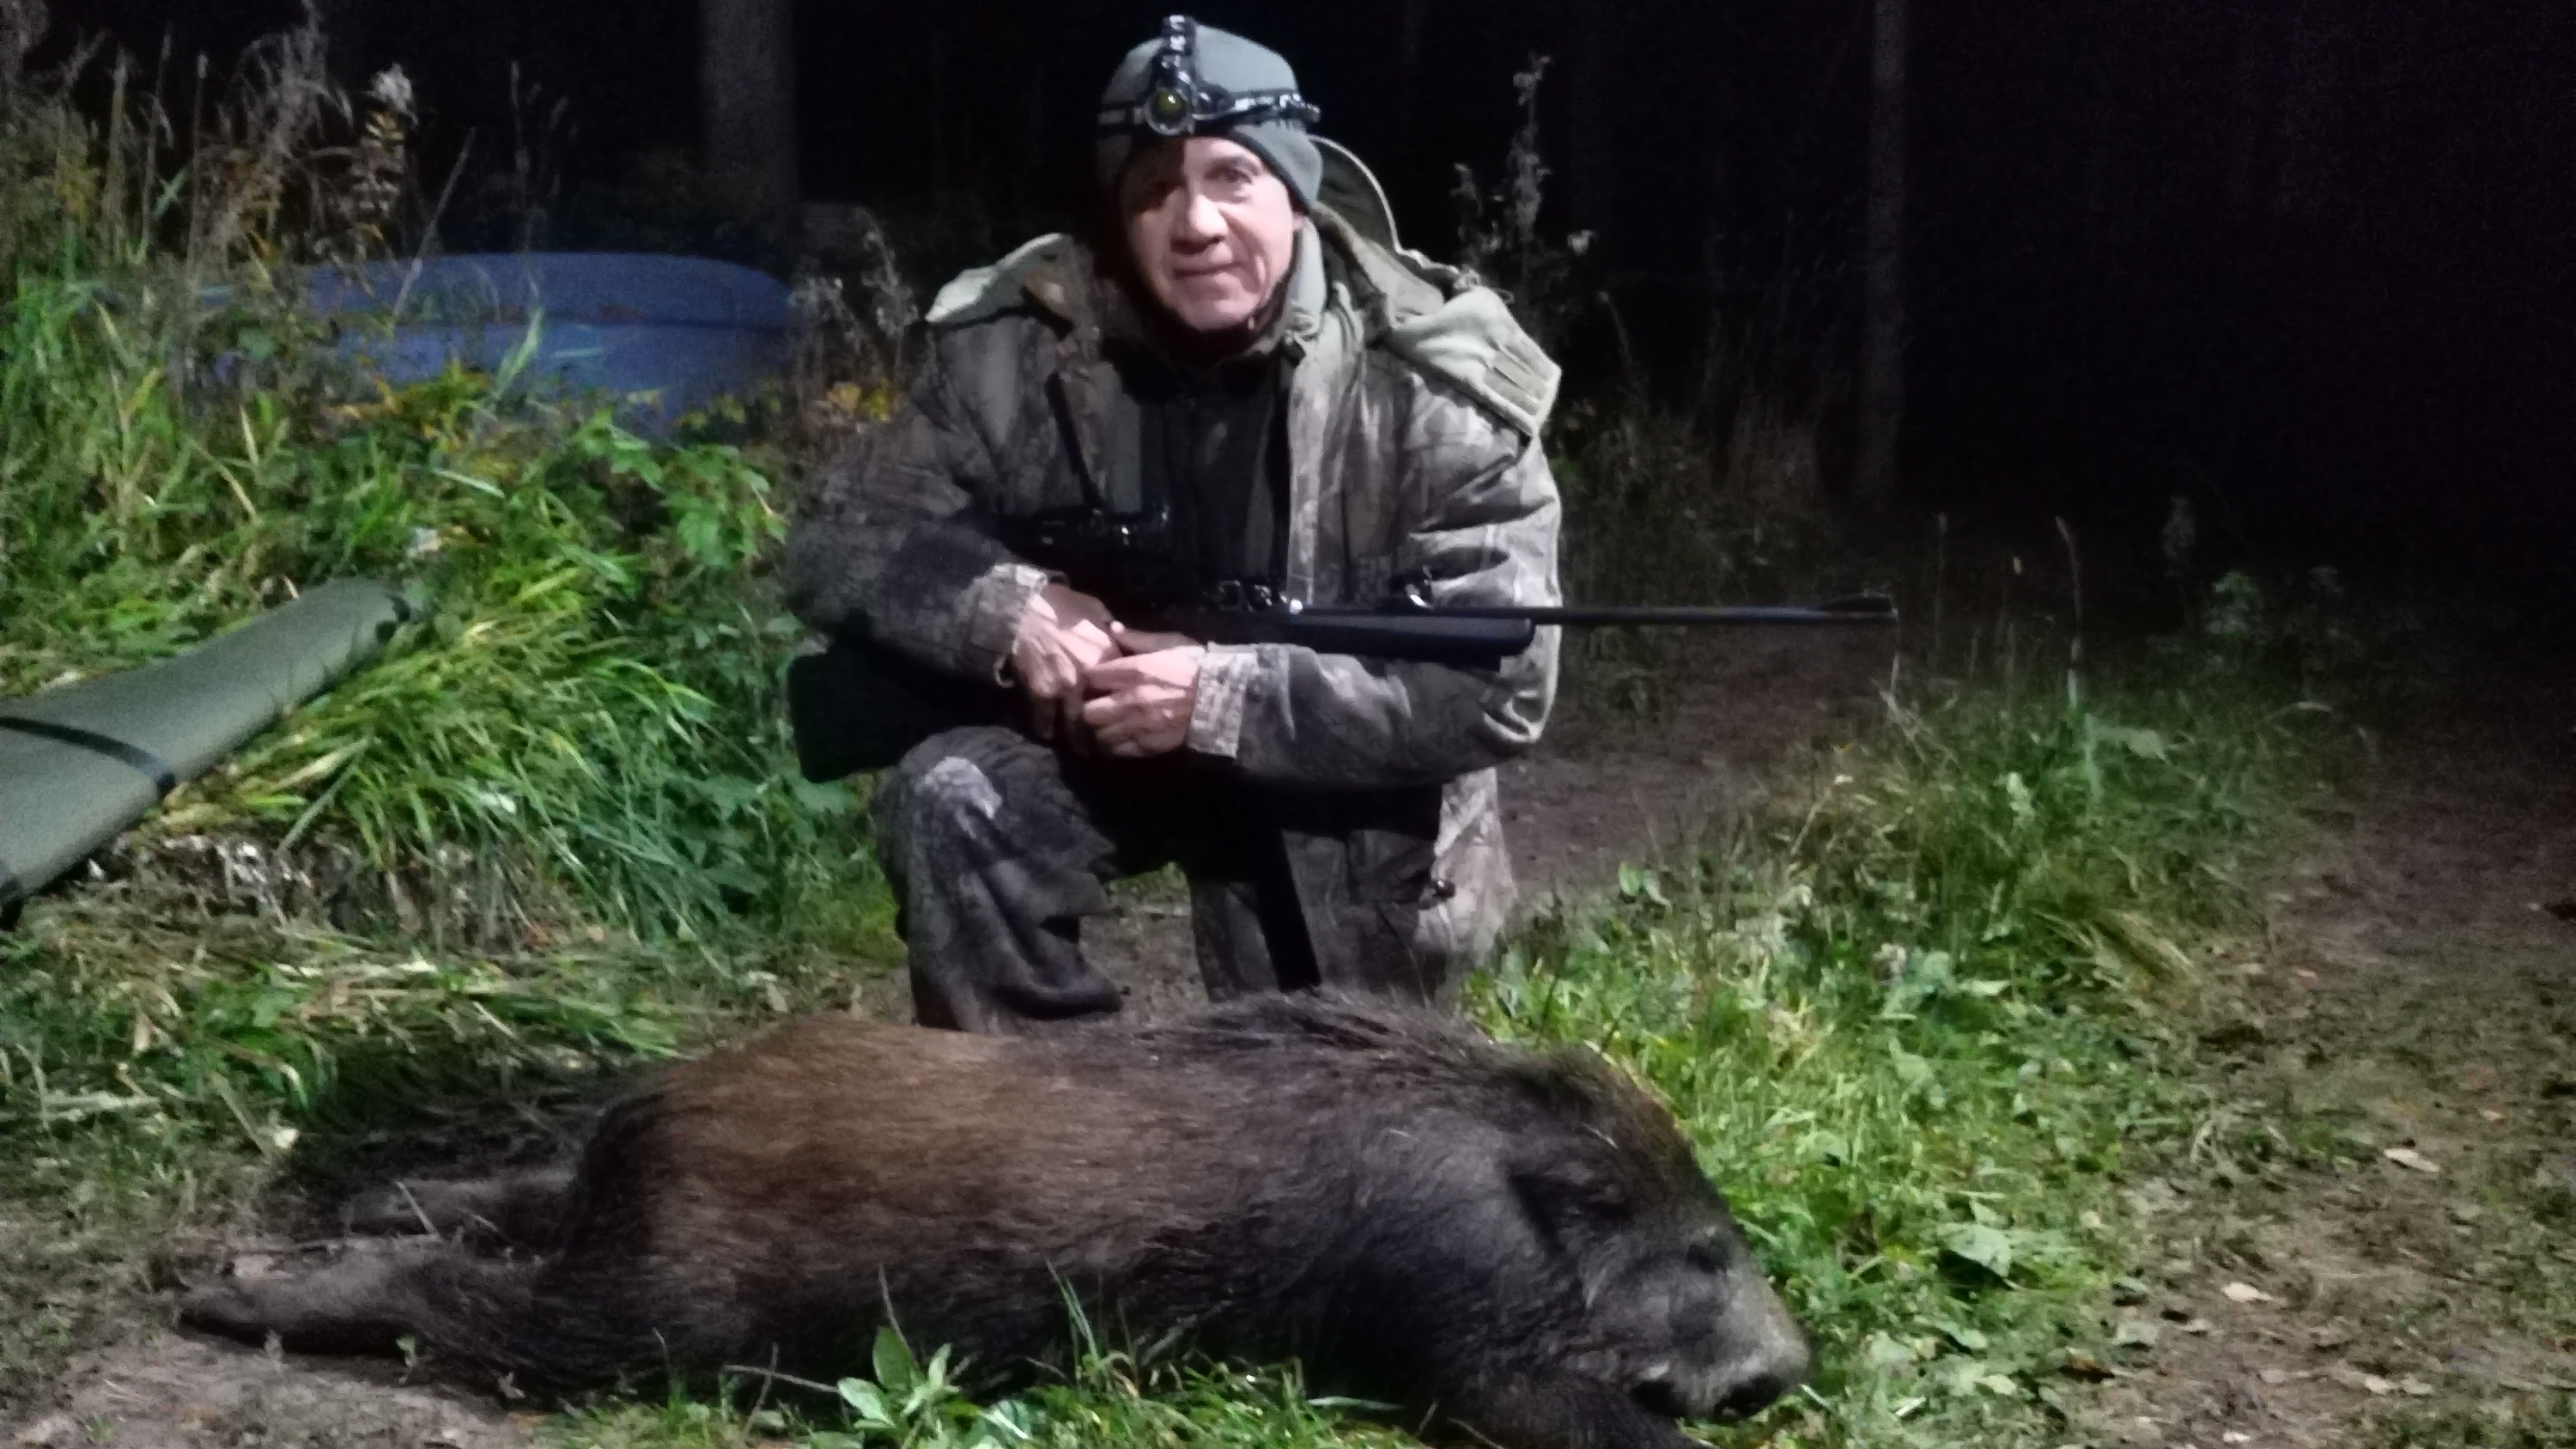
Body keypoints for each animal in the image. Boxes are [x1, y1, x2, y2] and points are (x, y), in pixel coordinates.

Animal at [183, 993, 1808, 1449]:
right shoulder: (1465, 1342)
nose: (1793, 1367)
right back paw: (211, 1288)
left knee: (490, 1197)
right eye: (1704, 1248)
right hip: (640, 1313)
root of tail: (650, 1117)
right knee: (446, 1289)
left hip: (594, 1234)